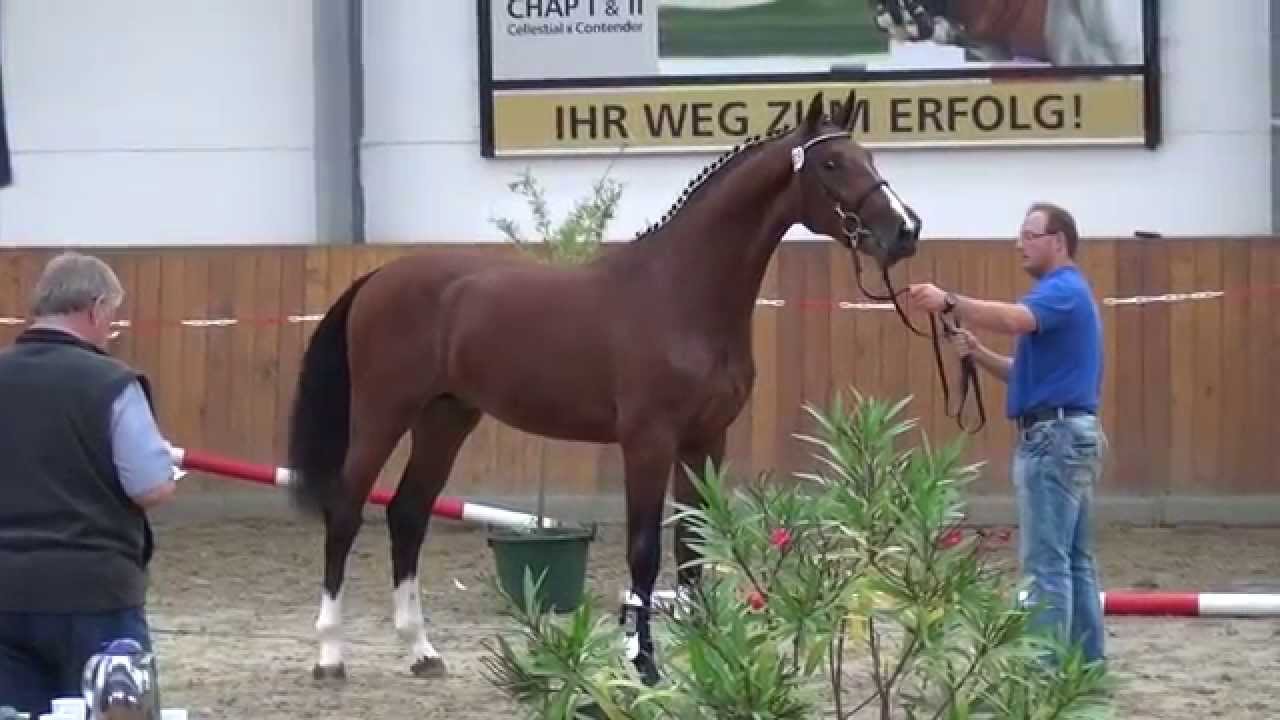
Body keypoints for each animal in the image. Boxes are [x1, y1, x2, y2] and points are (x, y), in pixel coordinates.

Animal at [283, 90, 922, 685]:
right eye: (833, 163)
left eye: (868, 156)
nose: (905, 230)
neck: (681, 292)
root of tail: (379, 278)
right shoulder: (648, 443)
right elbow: (644, 553)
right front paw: (644, 665)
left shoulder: (705, 440)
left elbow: (691, 548)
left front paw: (707, 658)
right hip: (383, 414)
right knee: (346, 511)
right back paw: (330, 655)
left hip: (445, 417)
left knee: (409, 514)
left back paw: (421, 650)